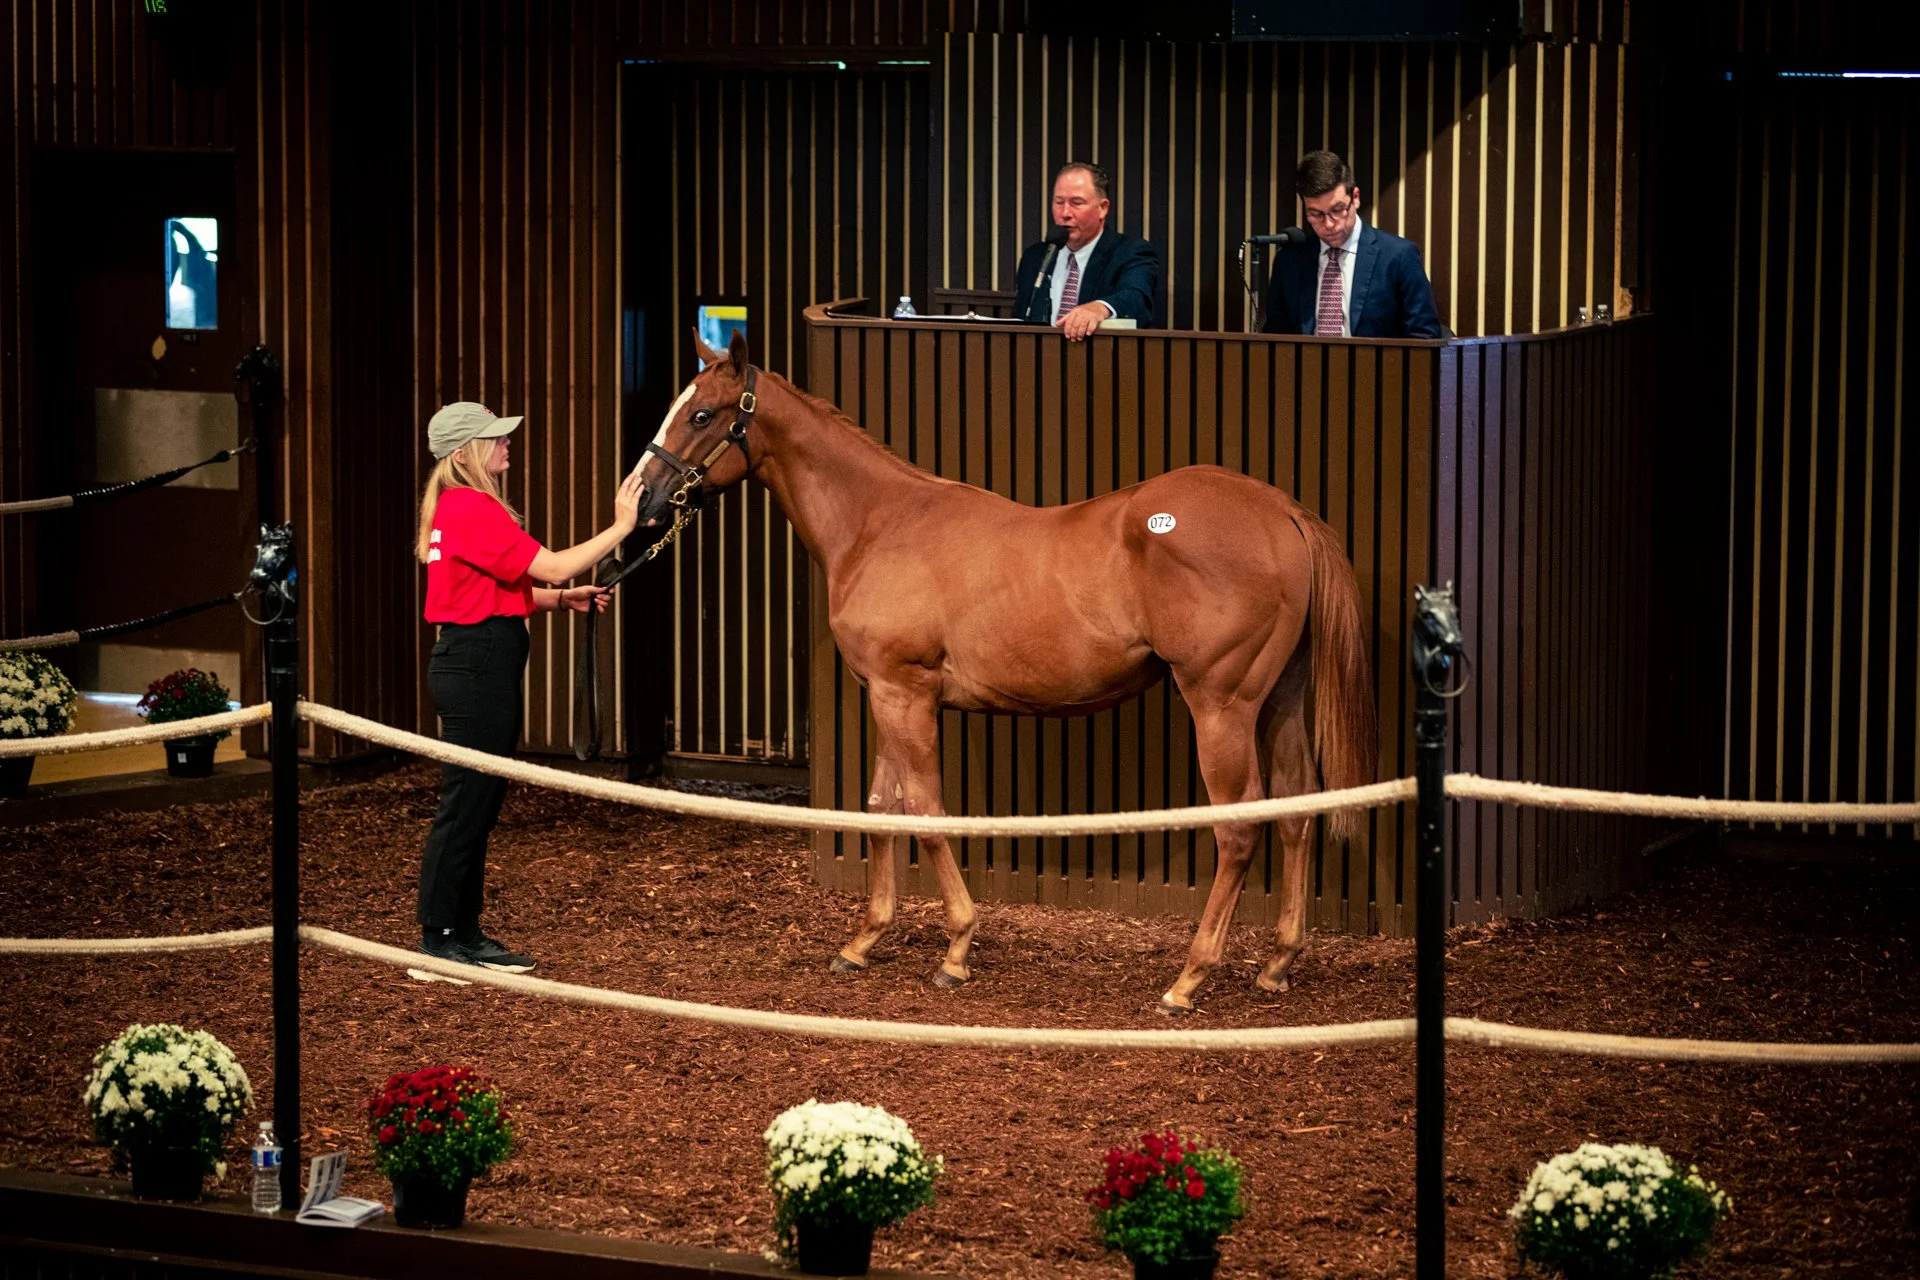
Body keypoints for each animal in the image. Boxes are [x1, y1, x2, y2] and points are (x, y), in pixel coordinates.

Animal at [632, 331, 1377, 1014]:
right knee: (1295, 807)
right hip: (1277, 700)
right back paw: (1277, 963)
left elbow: (925, 808)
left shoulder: (906, 694)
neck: (880, 523)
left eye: (702, 414)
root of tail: (1282, 511)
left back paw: (1187, 980)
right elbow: (882, 806)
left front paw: (957, 949)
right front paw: (865, 940)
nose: (643, 497)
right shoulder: (886, 694)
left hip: (1221, 705)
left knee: (1240, 827)